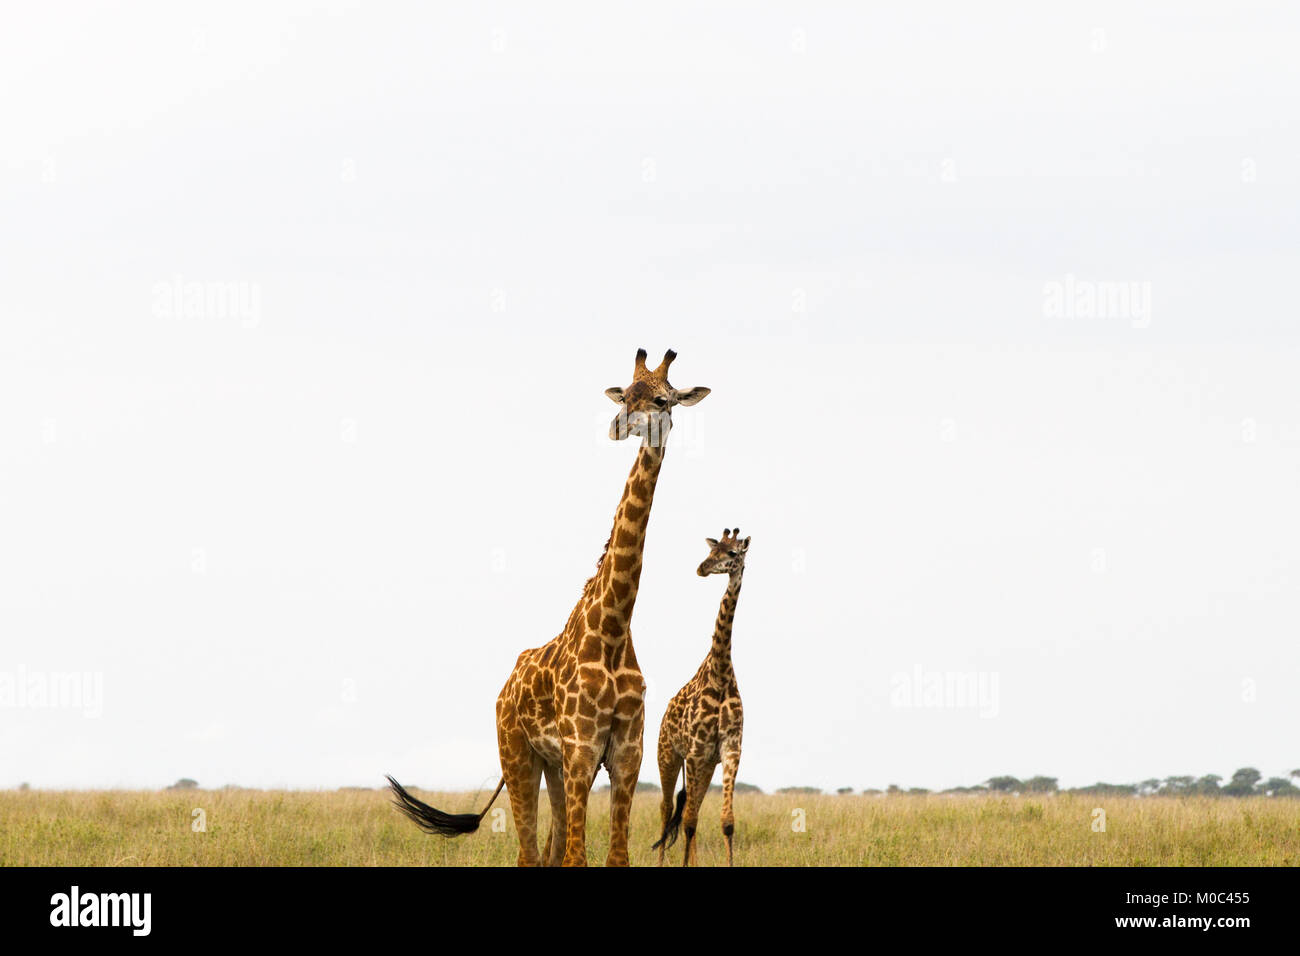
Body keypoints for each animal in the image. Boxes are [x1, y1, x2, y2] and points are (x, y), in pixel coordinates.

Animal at [387, 348, 709, 866]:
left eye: (662, 399)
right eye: (626, 393)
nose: (618, 425)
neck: (614, 627)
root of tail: (506, 686)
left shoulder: (625, 754)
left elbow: (613, 857)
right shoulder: (581, 750)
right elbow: (578, 856)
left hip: (553, 767)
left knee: (548, 852)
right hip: (518, 755)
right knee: (530, 853)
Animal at [652, 528, 749, 866]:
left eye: (732, 553)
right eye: (712, 549)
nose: (702, 568)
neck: (720, 673)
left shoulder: (730, 748)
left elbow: (726, 821)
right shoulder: (694, 751)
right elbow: (689, 821)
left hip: (705, 765)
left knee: (690, 809)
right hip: (668, 755)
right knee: (669, 809)